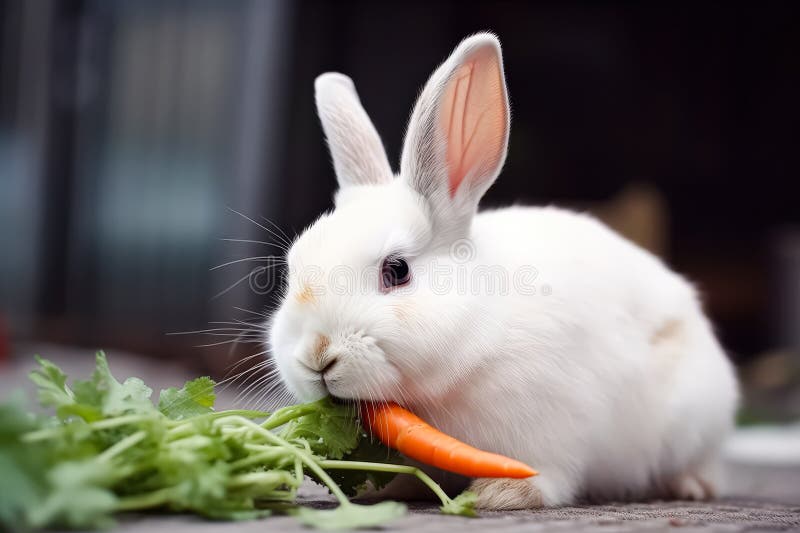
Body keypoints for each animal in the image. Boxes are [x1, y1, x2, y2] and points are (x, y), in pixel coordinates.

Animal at [268, 32, 739, 509]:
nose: (317, 356)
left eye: (396, 270)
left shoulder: (552, 428)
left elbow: (547, 473)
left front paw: (501, 493)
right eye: (293, 269)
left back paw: (691, 486)